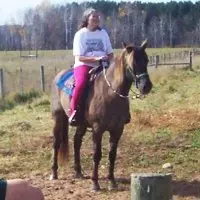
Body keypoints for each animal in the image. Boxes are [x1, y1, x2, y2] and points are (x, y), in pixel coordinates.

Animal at [49, 40, 152, 191]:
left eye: (146, 60)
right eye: (133, 62)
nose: (146, 86)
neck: (110, 93)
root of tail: (58, 75)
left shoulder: (118, 129)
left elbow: (112, 155)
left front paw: (112, 181)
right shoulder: (98, 129)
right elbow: (97, 155)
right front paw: (95, 183)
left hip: (81, 124)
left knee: (76, 142)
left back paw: (78, 172)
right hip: (58, 118)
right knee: (56, 143)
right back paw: (54, 173)